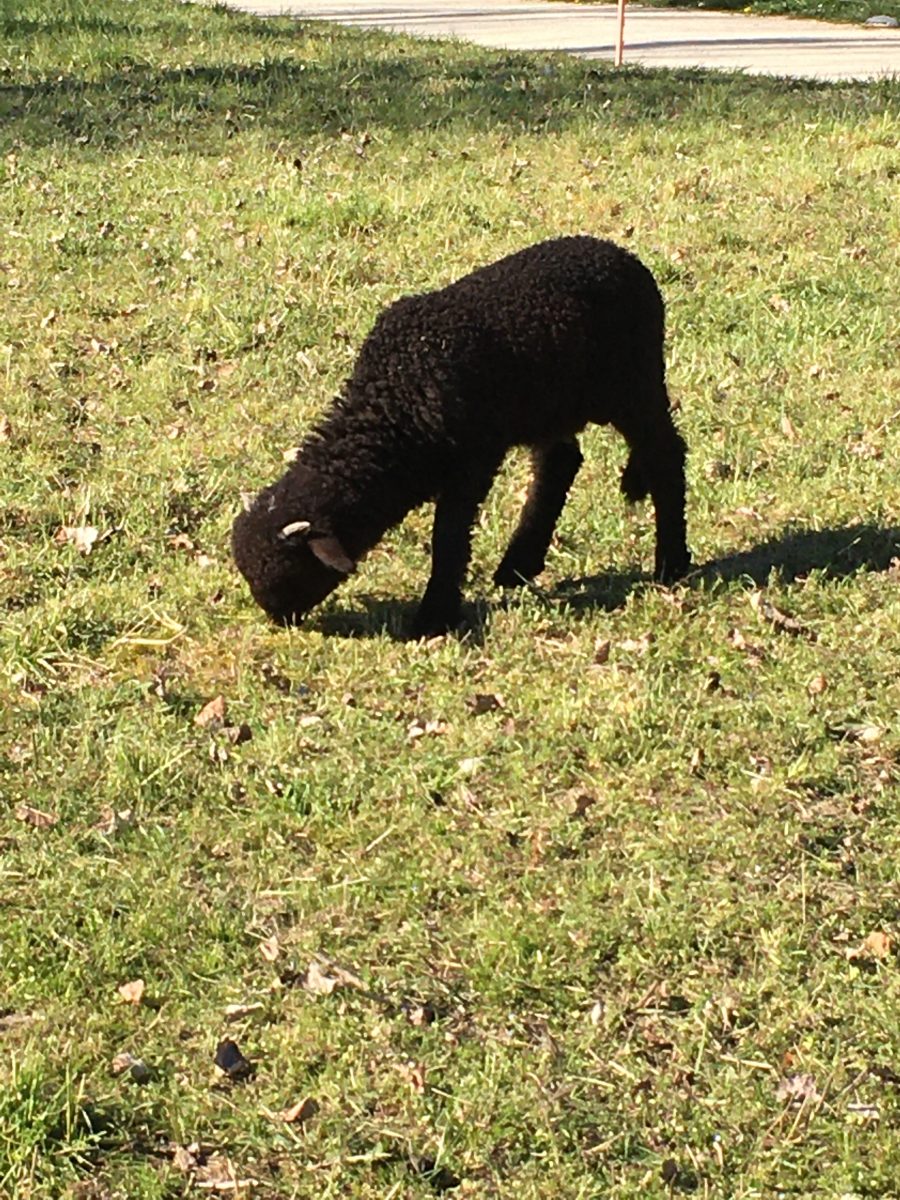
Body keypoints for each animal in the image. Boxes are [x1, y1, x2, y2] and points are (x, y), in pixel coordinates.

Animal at [232, 236, 691, 638]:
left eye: (288, 571)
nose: (279, 618)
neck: (394, 405)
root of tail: (623, 256)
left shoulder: (471, 461)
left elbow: (448, 538)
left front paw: (434, 616)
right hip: (547, 404)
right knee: (559, 464)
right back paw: (518, 565)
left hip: (634, 384)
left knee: (665, 454)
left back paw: (670, 563)